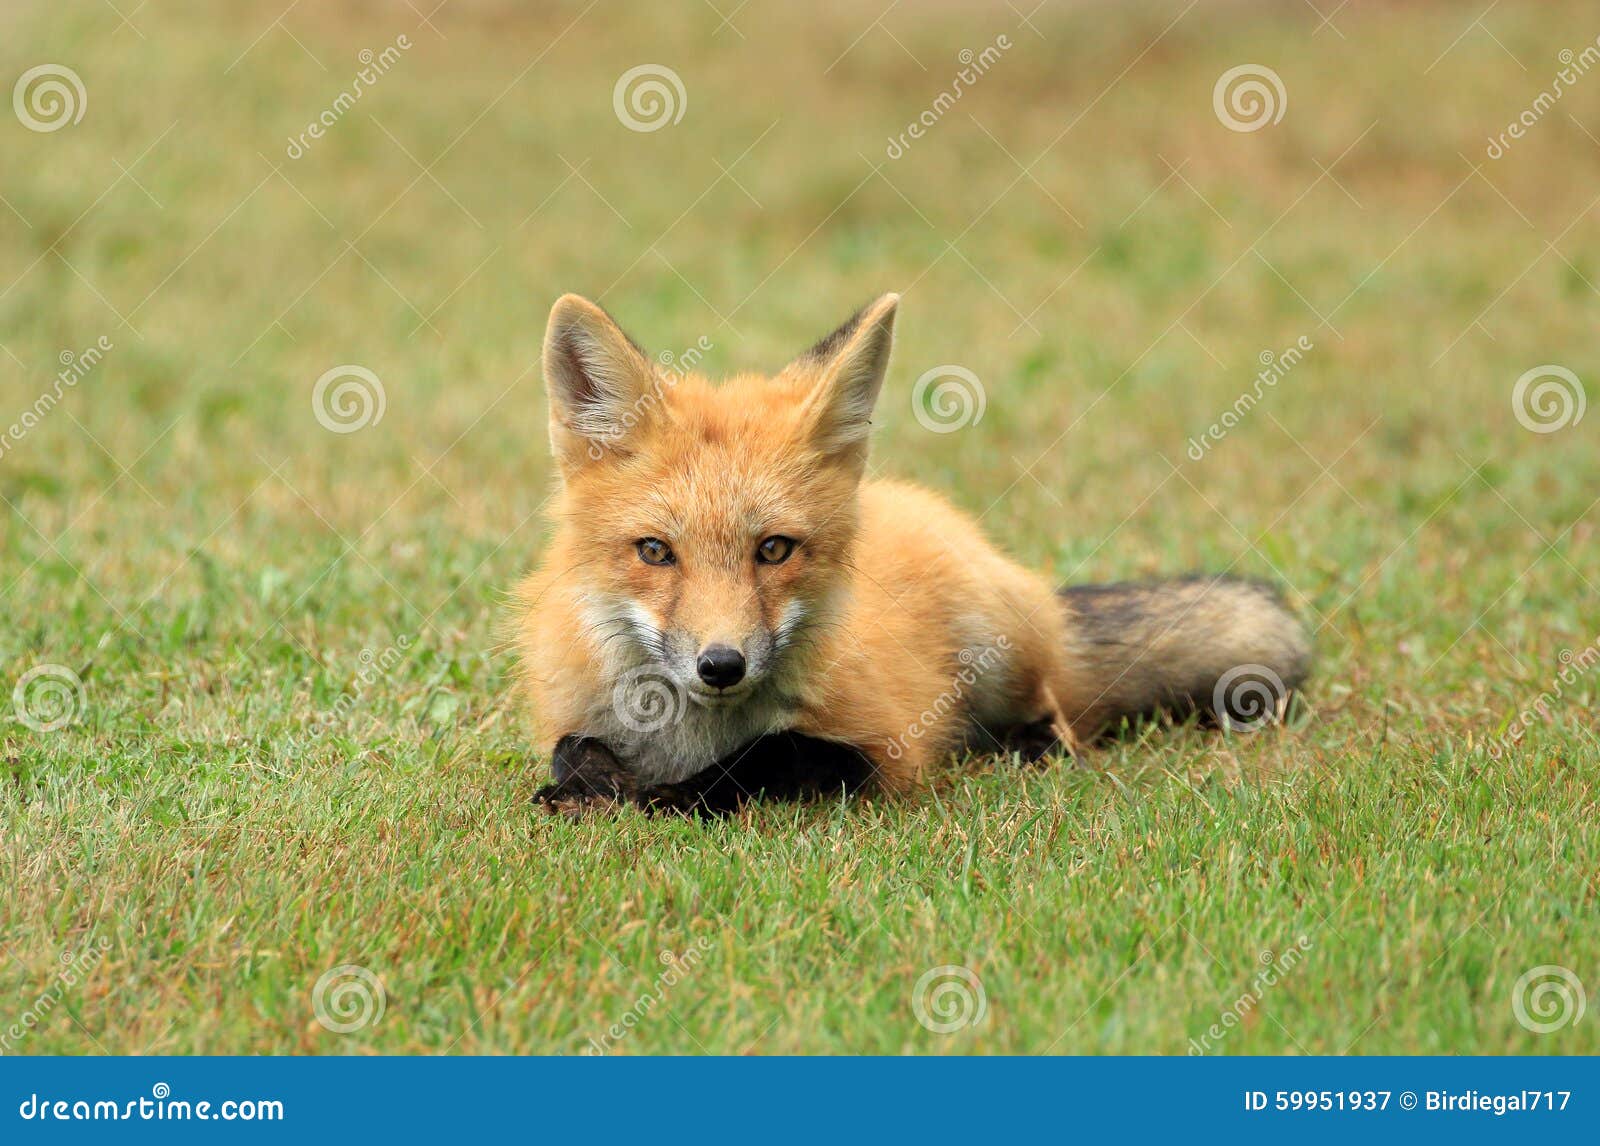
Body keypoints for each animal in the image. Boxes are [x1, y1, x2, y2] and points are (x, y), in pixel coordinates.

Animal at [515, 292, 1311, 815]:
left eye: (774, 549)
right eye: (655, 551)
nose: (721, 664)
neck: (690, 731)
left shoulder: (884, 746)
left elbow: (764, 757)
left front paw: (671, 797)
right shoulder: (572, 714)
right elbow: (572, 749)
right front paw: (590, 787)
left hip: (1000, 651)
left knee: (1060, 718)